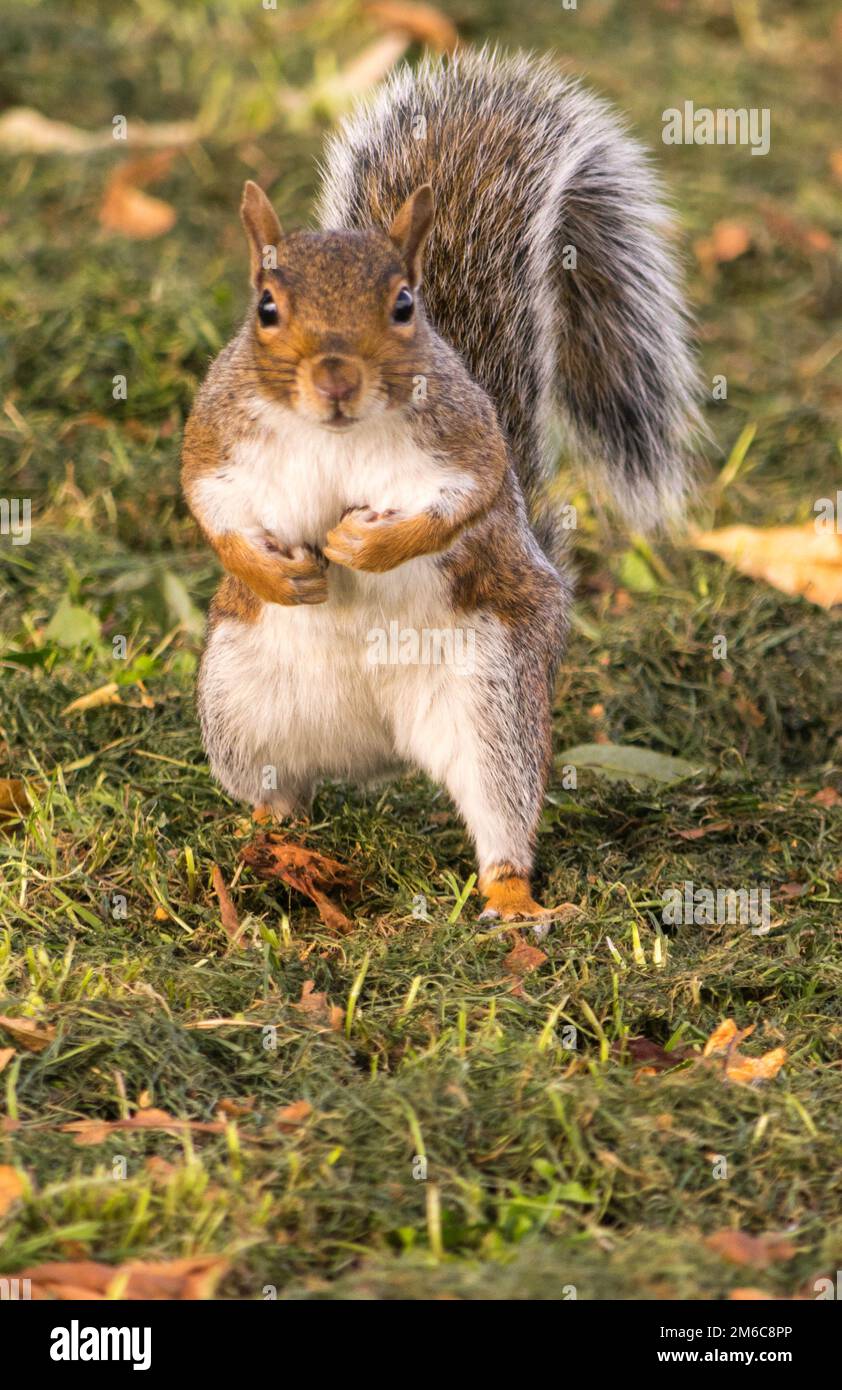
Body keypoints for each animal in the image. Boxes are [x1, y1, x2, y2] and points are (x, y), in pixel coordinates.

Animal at [181, 48, 699, 923]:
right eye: (267, 307)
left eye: (403, 304)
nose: (336, 380)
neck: (337, 433)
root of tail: (377, 747)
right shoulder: (218, 436)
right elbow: (210, 506)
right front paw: (276, 573)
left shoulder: (466, 442)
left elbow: (463, 501)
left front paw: (366, 543)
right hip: (242, 705)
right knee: (277, 790)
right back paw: (268, 845)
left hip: (493, 703)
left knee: (500, 813)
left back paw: (514, 900)